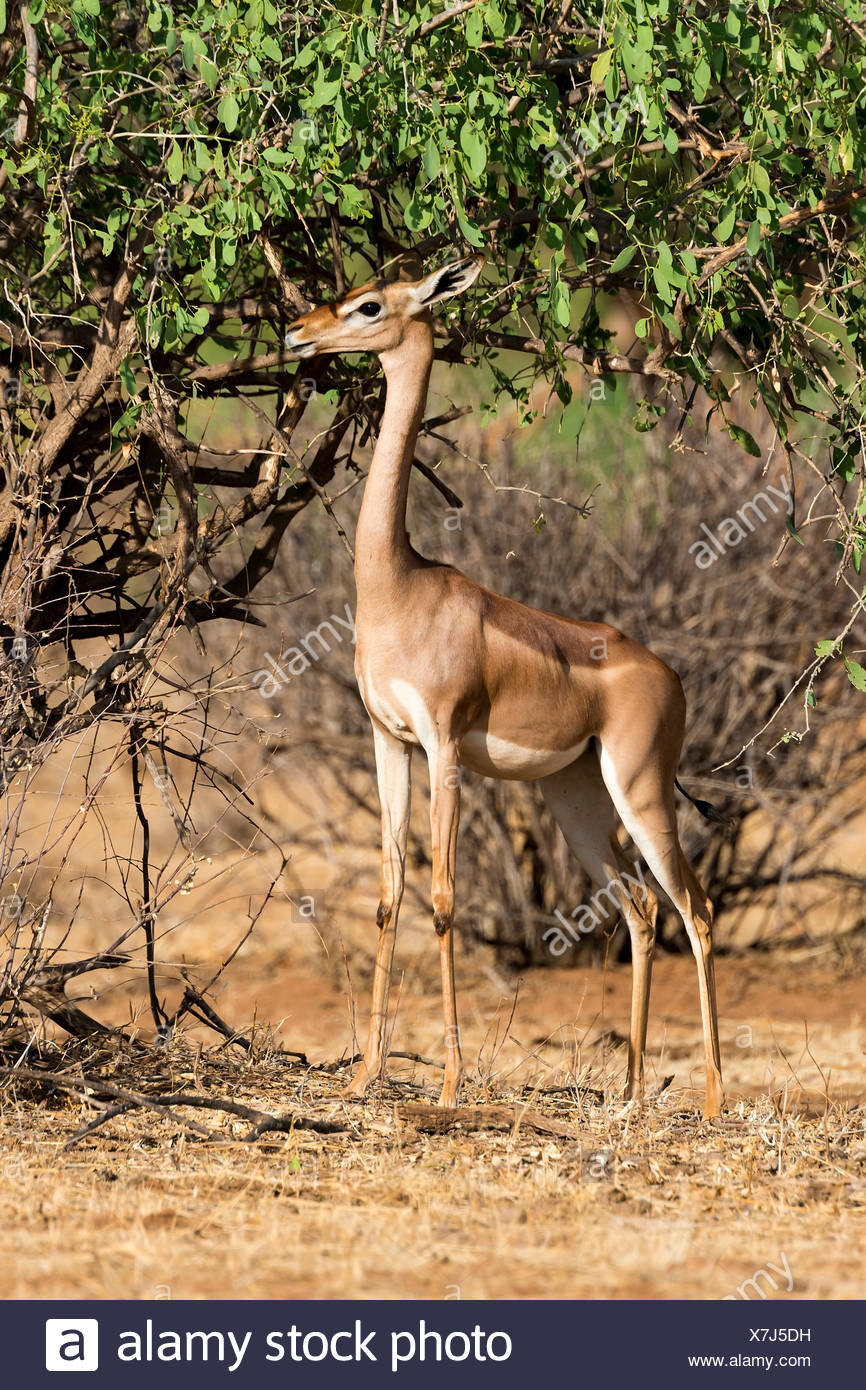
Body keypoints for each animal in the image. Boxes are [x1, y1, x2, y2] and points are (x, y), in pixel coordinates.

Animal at [285, 253, 724, 1118]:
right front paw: (364, 1074)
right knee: (640, 908)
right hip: (576, 798)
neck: (397, 587)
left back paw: (717, 1098)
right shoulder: (387, 740)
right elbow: (389, 896)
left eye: (369, 306)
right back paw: (630, 1090)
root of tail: (667, 674)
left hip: (641, 790)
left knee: (696, 909)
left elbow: (444, 900)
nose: (298, 333)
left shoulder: (445, 743)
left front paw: (450, 1082)